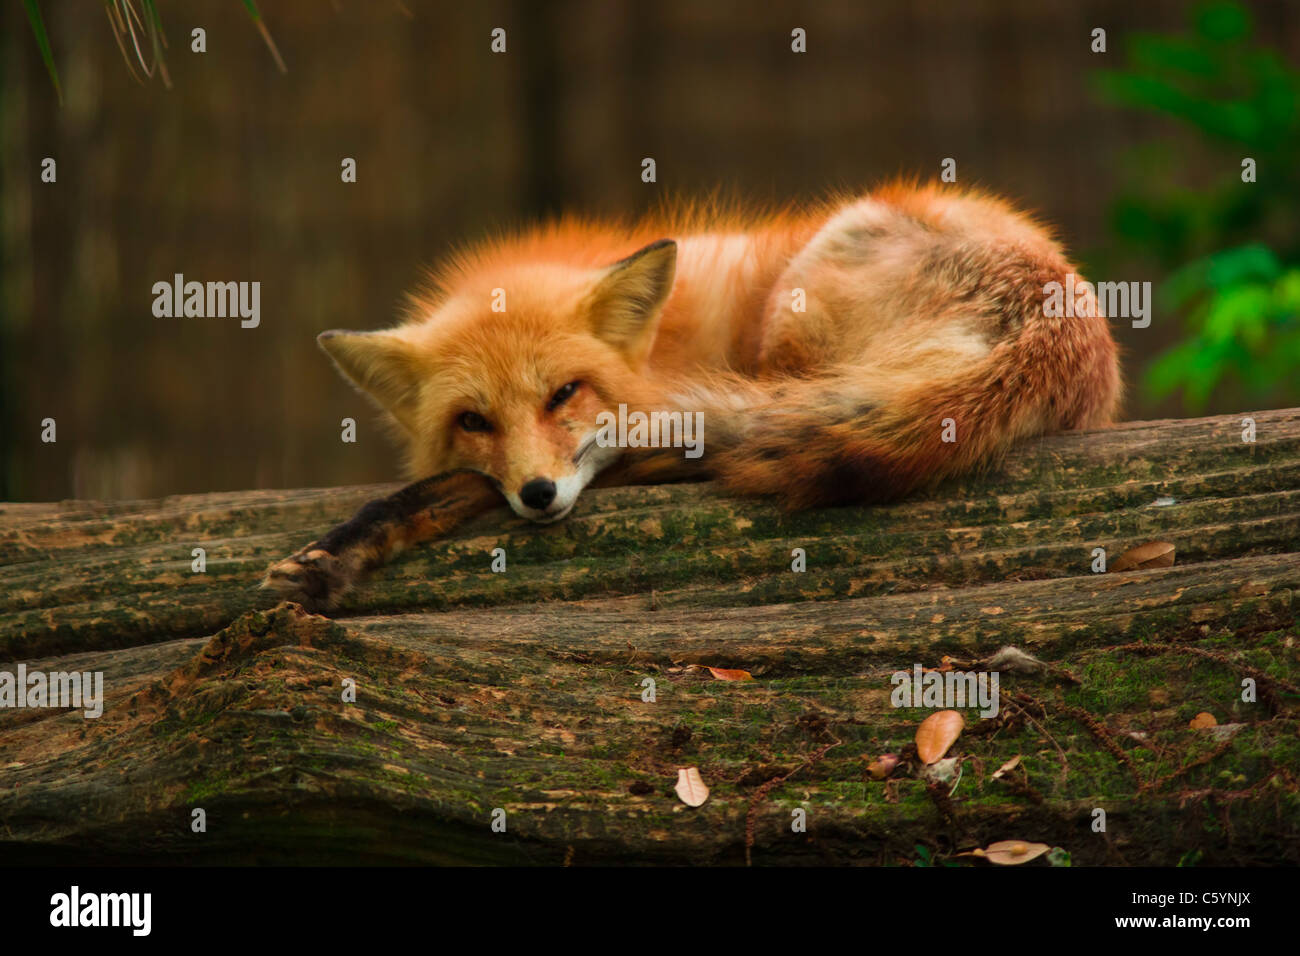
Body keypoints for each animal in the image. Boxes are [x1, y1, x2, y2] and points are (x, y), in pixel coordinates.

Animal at [262, 181, 1121, 610]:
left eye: (563, 393)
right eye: (474, 420)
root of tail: (1056, 323)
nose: (538, 495)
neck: (661, 345)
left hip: (796, 312)